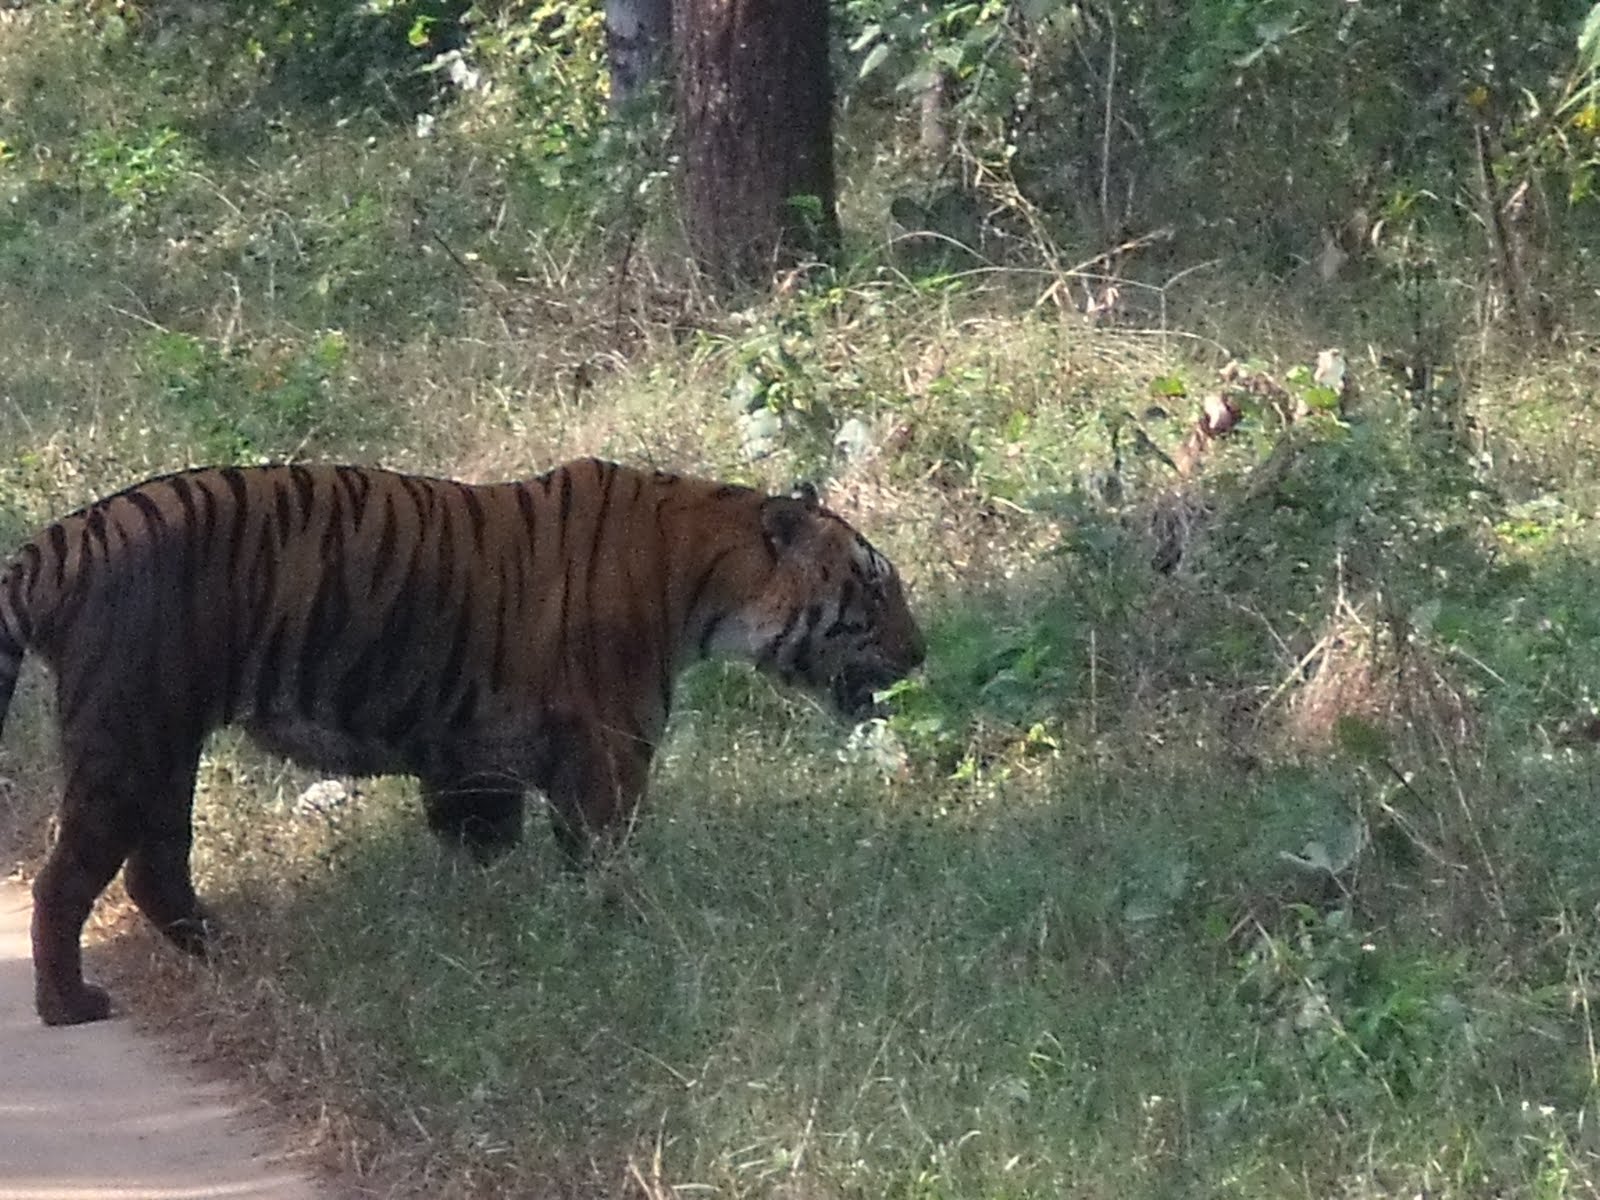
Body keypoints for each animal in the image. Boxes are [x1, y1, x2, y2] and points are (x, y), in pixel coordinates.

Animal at [0, 457, 925, 1026]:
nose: (922, 654)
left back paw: (219, 950)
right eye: (876, 590)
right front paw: (623, 939)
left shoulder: (474, 762)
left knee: (154, 866)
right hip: (130, 735)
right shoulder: (611, 752)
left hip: (165, 740)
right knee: (66, 878)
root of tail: (55, 540)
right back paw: (69, 1004)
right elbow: (607, 860)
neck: (707, 574)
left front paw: (486, 939)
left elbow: (482, 853)